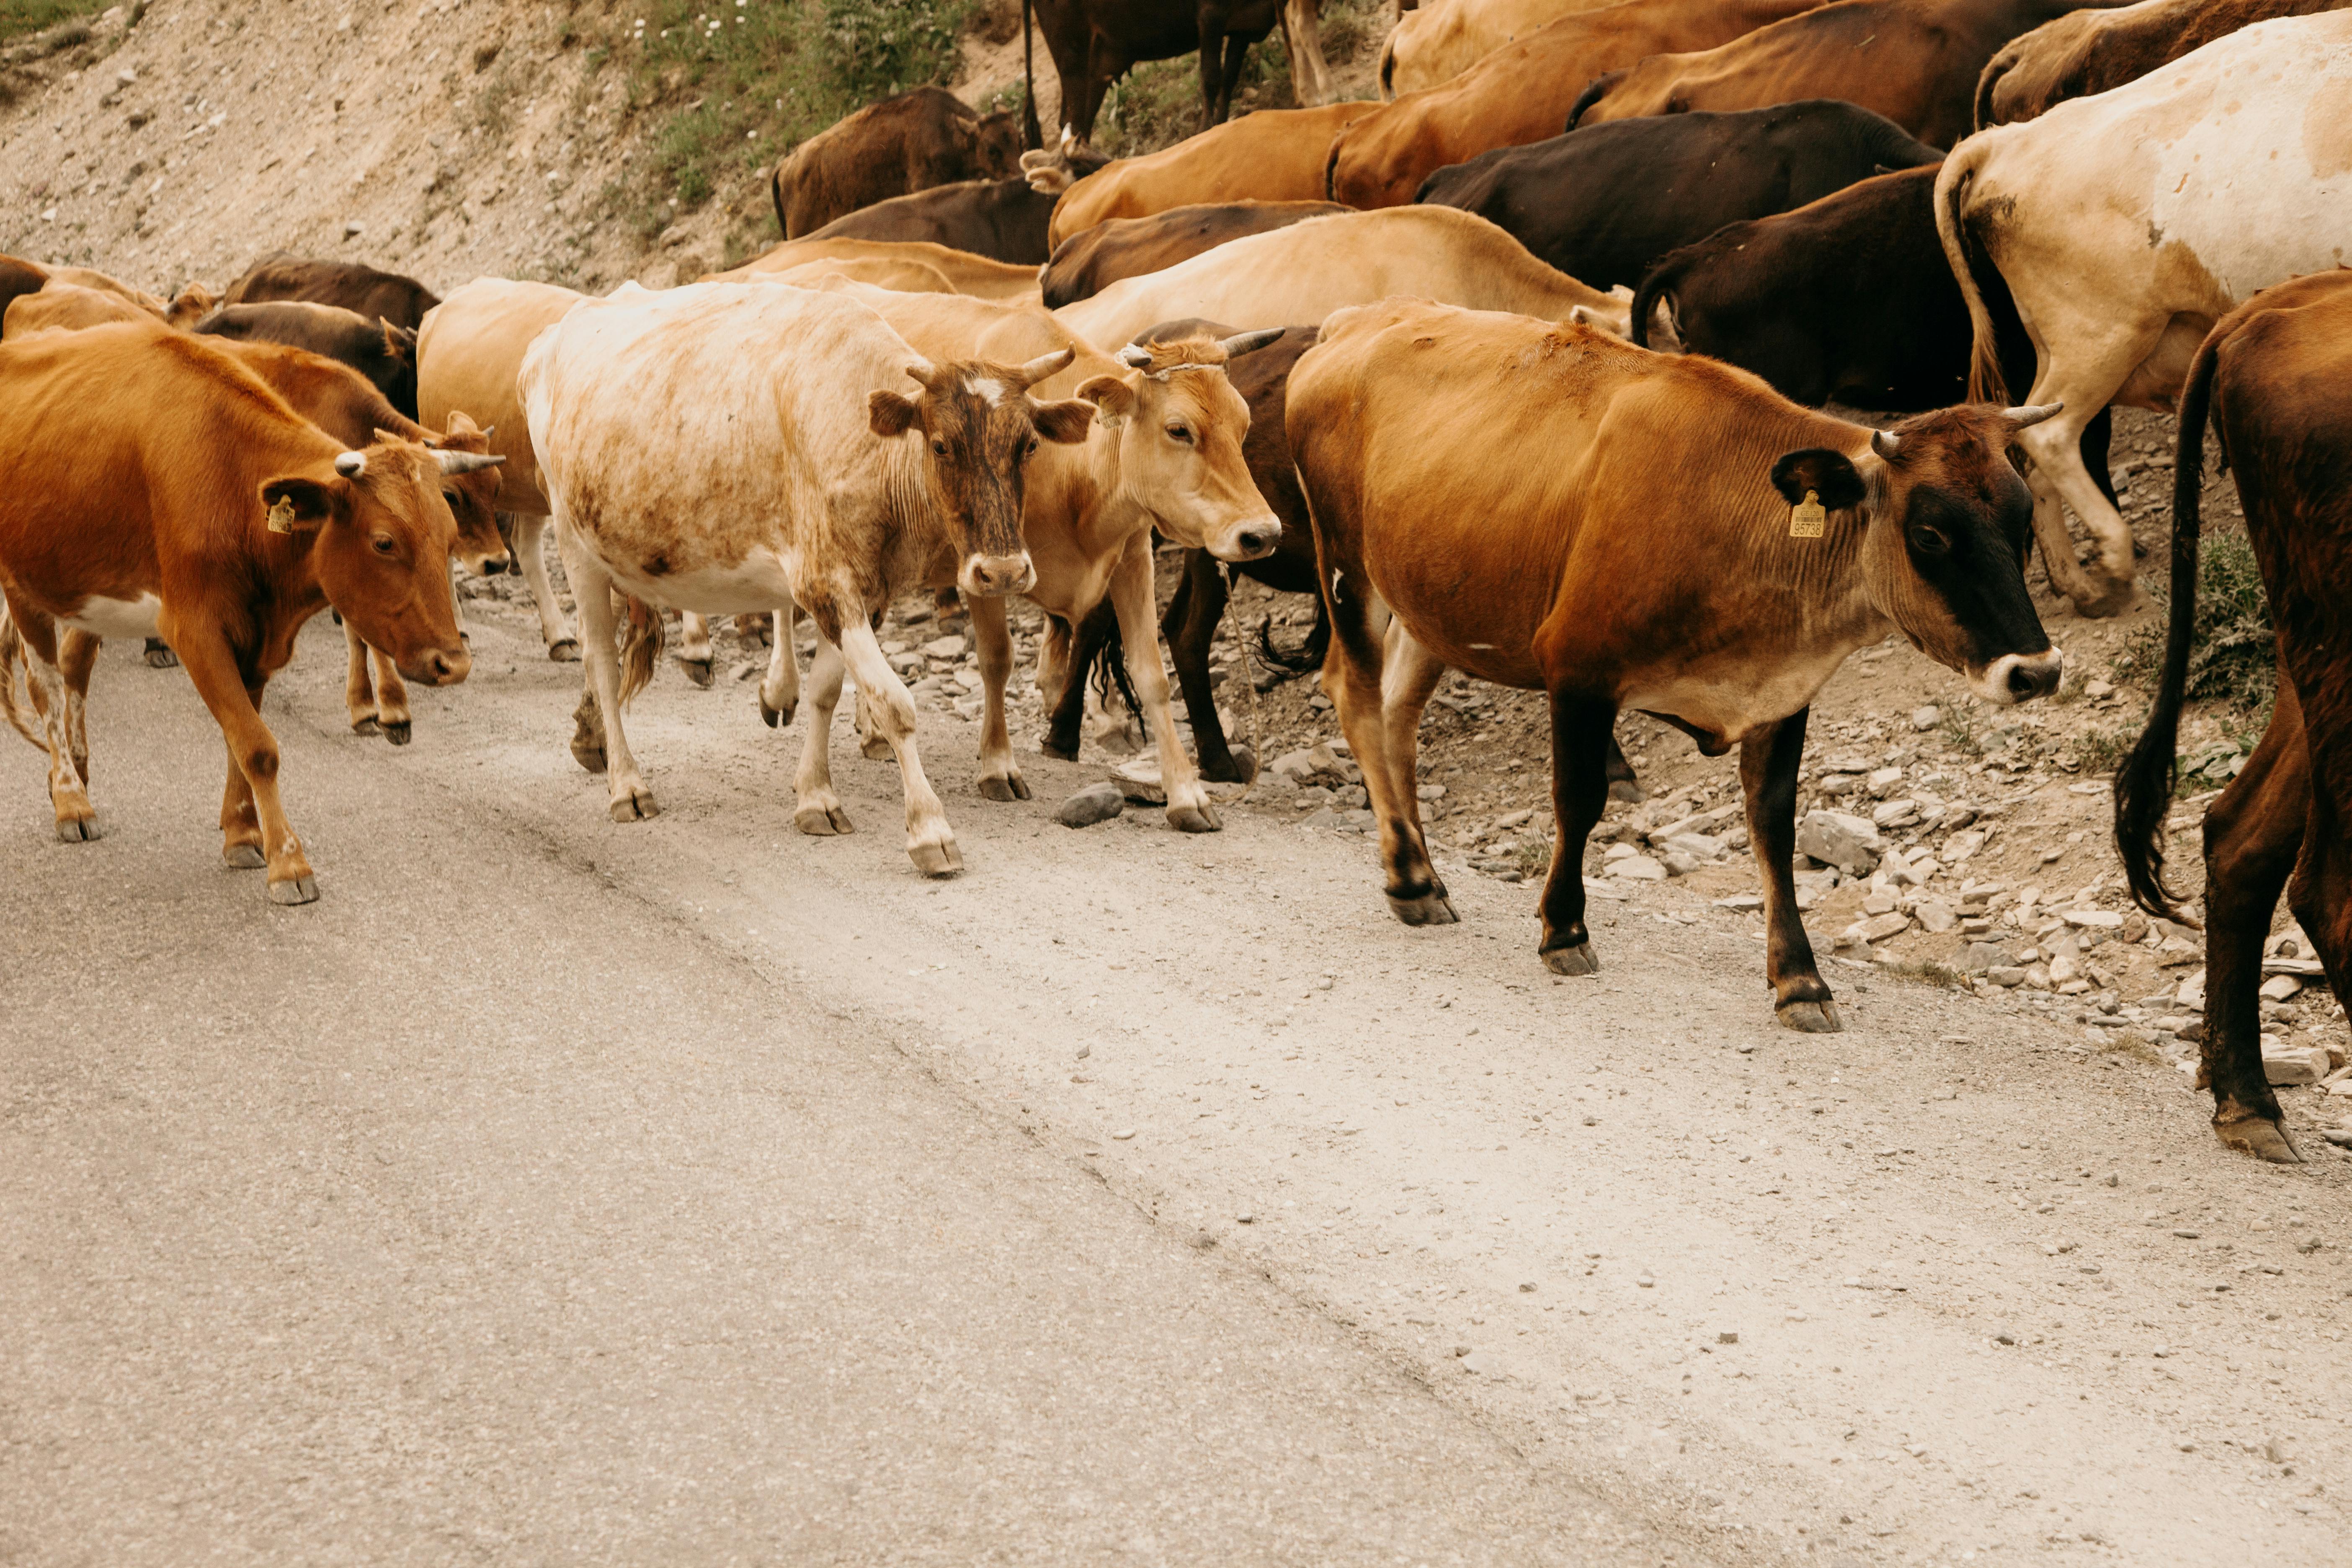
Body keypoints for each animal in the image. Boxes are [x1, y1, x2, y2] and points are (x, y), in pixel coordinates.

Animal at [0, 319, 472, 903]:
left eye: (450, 537)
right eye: (384, 542)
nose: (454, 664)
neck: (232, 478)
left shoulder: (256, 636)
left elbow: (239, 738)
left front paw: (244, 833)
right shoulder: (194, 630)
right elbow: (258, 745)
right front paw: (289, 862)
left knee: (74, 670)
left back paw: (77, 774)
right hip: (22, 584)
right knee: (44, 684)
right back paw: (70, 798)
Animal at [519, 283, 1097, 870]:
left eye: (1029, 445)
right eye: (941, 445)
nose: (1002, 572)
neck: (867, 444)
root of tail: (553, 337)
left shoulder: (864, 591)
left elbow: (826, 691)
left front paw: (816, 796)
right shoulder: (827, 584)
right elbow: (895, 703)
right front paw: (929, 829)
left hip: (615, 545)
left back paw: (590, 739)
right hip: (573, 542)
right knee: (601, 660)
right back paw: (628, 786)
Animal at [1021, 0, 1335, 142]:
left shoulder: (1242, 30)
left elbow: (1229, 79)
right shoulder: (1210, 18)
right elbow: (1211, 78)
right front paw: (1205, 130)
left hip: (1095, 71)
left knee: (1075, 125)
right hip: (1072, 58)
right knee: (1074, 124)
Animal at [1288, 298, 2063, 1025]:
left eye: (2024, 519)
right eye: (1930, 534)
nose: (2037, 670)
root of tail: (1358, 318)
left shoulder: (1784, 693)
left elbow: (1773, 826)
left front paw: (1800, 979)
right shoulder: (1576, 668)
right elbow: (1579, 799)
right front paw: (1564, 929)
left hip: (1430, 600)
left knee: (1398, 714)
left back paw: (1422, 870)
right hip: (1345, 565)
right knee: (1356, 696)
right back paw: (1412, 880)